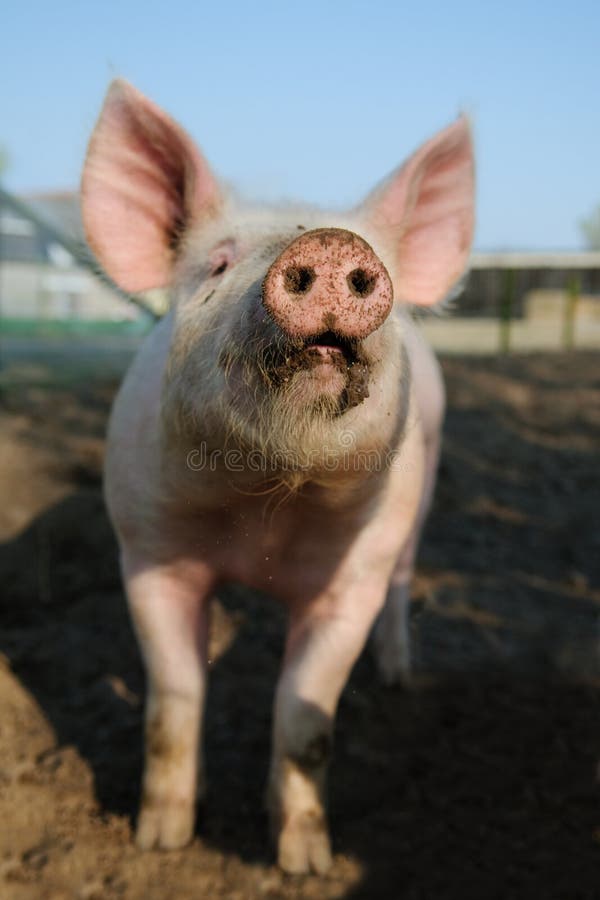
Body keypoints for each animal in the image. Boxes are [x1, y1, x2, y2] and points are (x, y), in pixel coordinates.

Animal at [81, 80, 475, 875]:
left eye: (367, 257)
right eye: (218, 264)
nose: (327, 243)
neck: (264, 512)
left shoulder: (350, 583)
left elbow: (303, 714)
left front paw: (305, 864)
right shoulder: (146, 550)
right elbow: (173, 699)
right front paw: (161, 839)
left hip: (420, 502)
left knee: (403, 580)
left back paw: (397, 676)